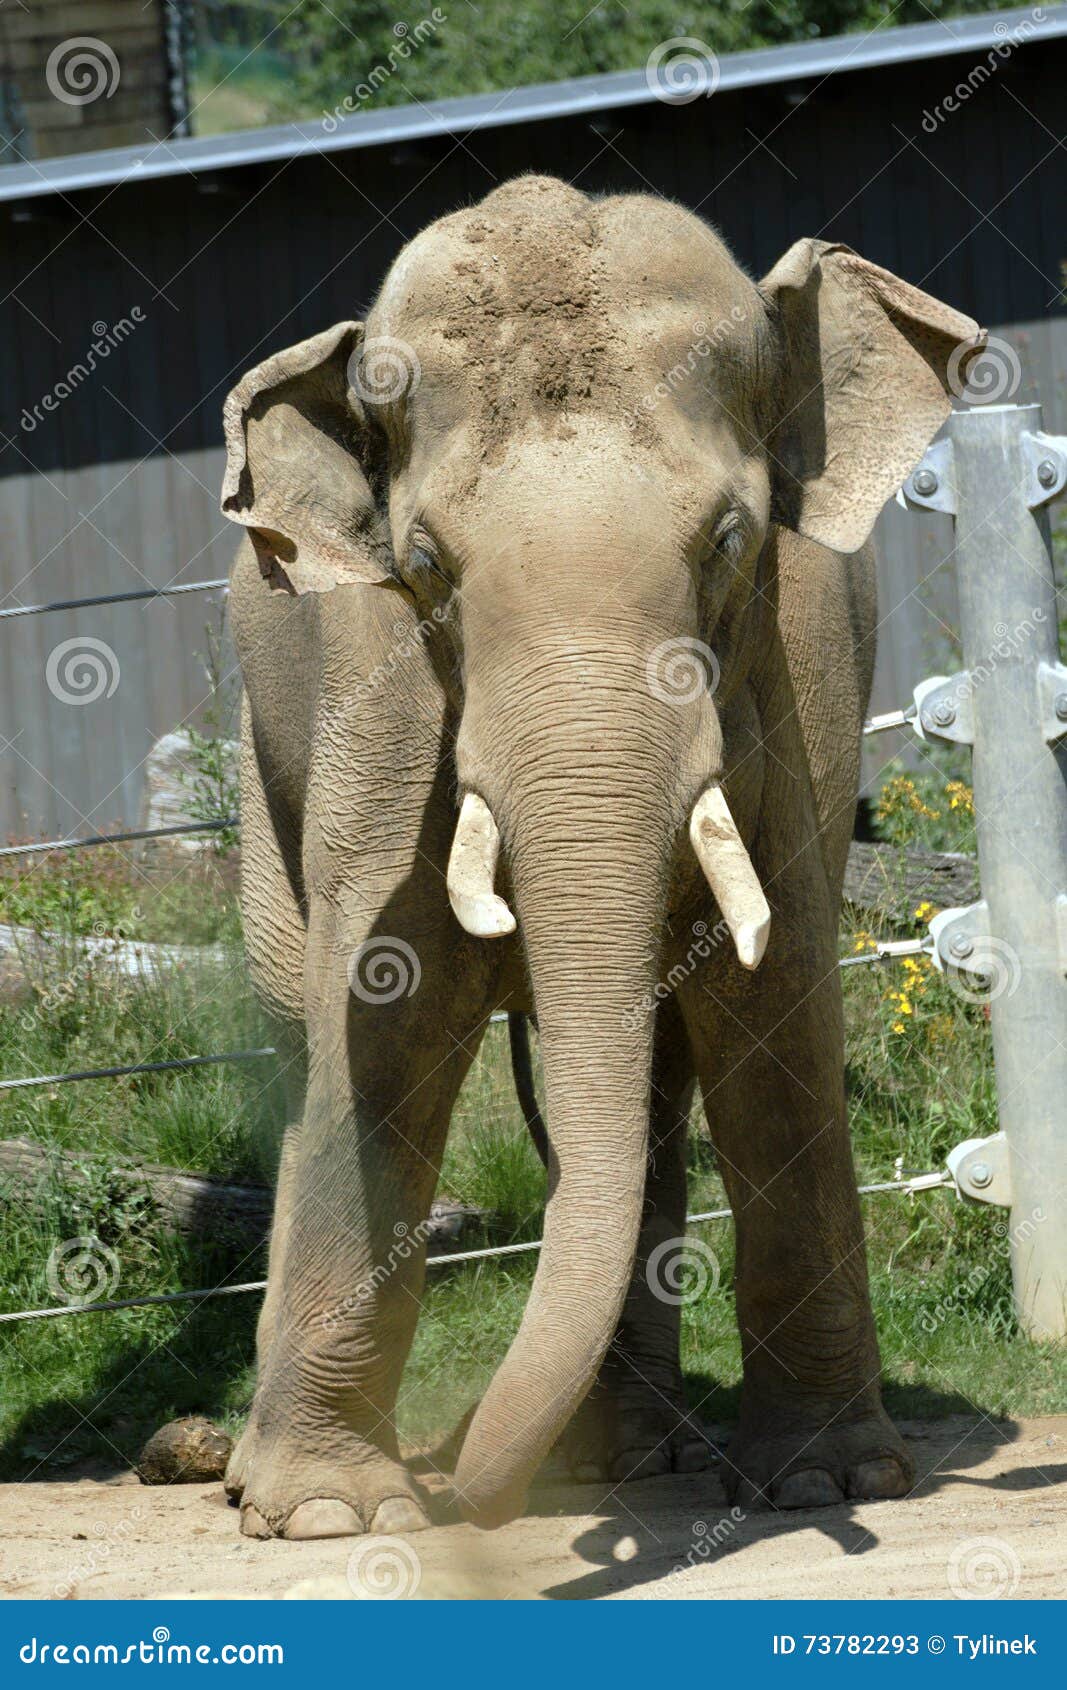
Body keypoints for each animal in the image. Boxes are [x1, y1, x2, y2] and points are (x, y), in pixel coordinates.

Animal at [218, 174, 980, 1541]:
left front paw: (826, 1479)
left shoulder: (785, 696)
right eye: (424, 568)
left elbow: (777, 1010)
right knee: (296, 1034)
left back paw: (622, 1457)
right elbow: (383, 1019)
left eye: (729, 540)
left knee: (660, 1076)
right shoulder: (384, 713)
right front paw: (325, 1517)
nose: (467, 1499)